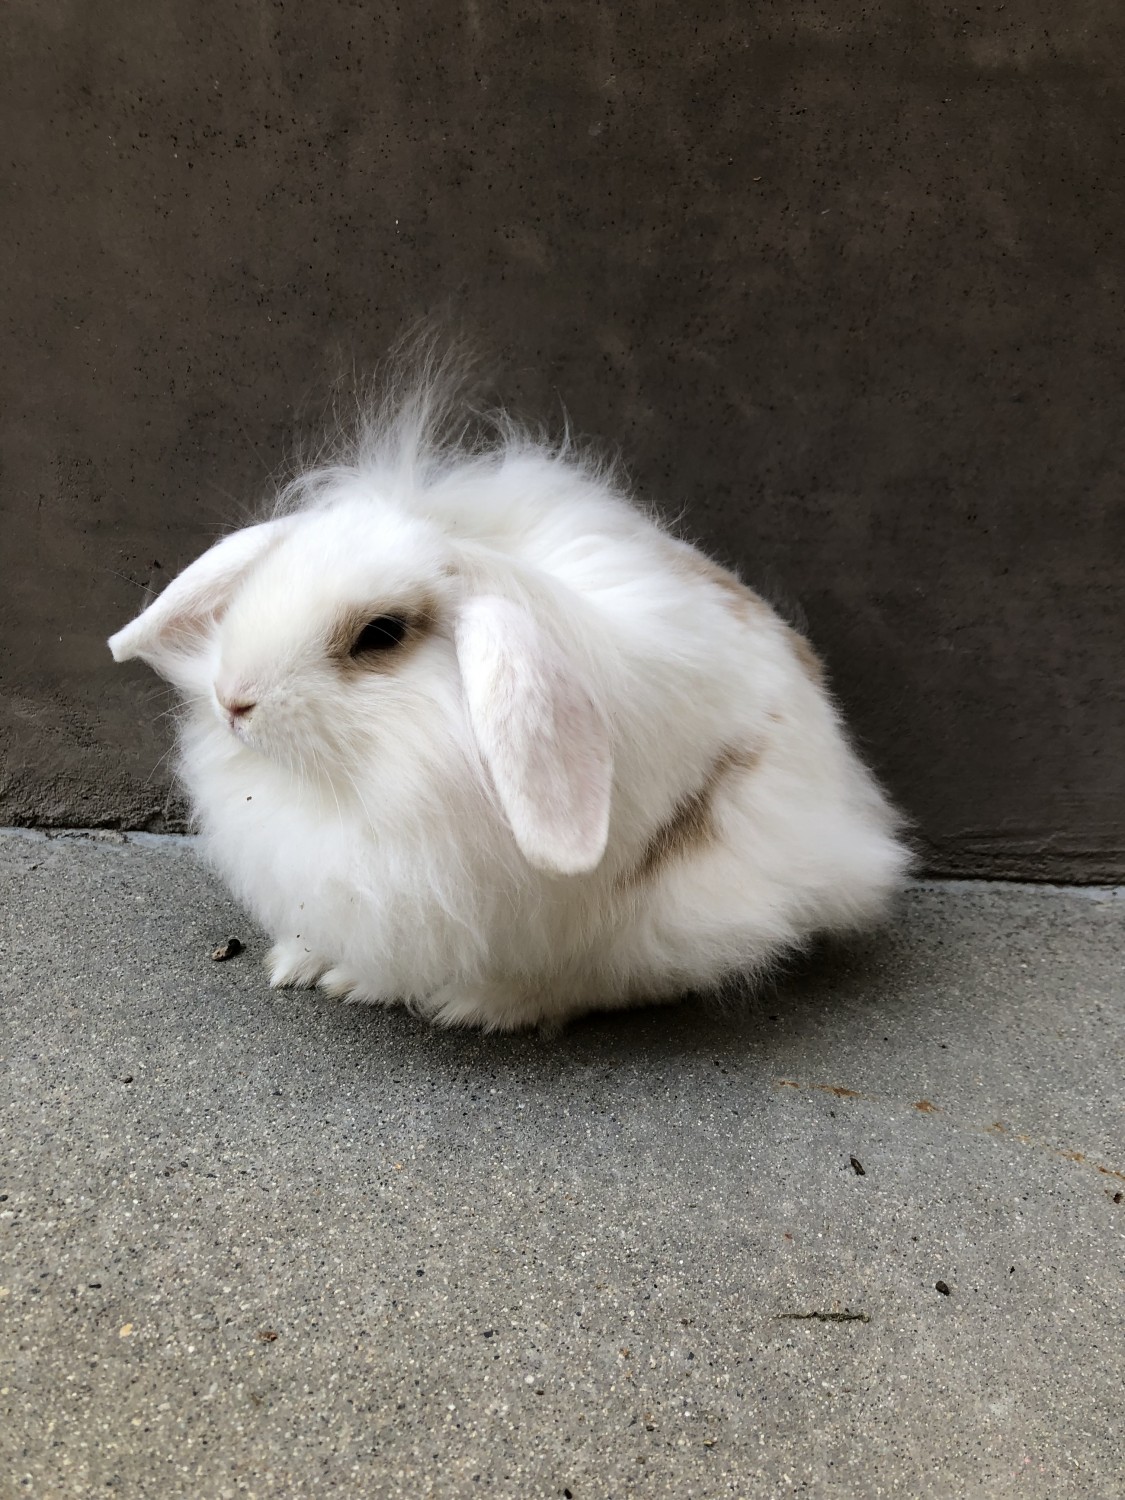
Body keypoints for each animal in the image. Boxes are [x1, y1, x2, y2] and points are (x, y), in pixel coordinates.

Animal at [108, 364, 910, 1031]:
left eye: (379, 634)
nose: (234, 700)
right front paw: (301, 960)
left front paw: (362, 982)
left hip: (693, 898)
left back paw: (483, 1003)